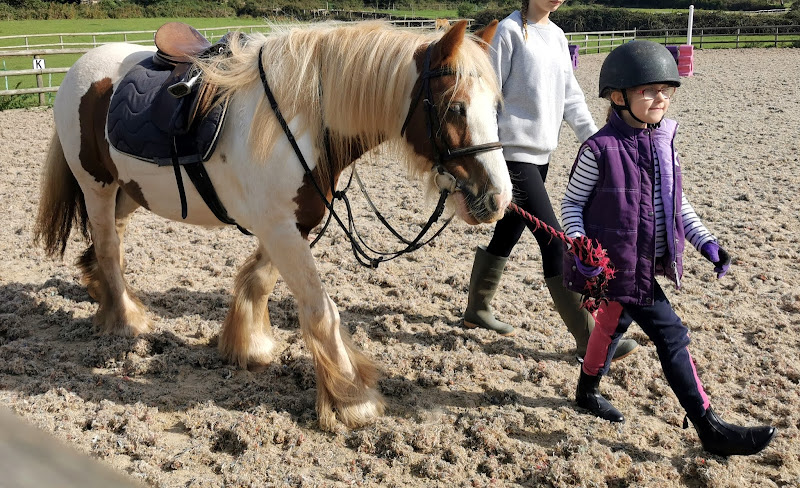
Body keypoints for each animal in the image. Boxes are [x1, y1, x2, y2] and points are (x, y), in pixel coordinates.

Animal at [33, 20, 512, 430]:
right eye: (455, 107)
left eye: (496, 107)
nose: (497, 199)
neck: (304, 122)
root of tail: (81, 66)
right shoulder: (280, 229)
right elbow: (321, 311)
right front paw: (352, 397)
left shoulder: (288, 225)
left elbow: (259, 281)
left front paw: (249, 344)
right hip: (96, 185)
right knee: (109, 246)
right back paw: (124, 317)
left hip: (130, 192)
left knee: (107, 240)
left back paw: (99, 289)